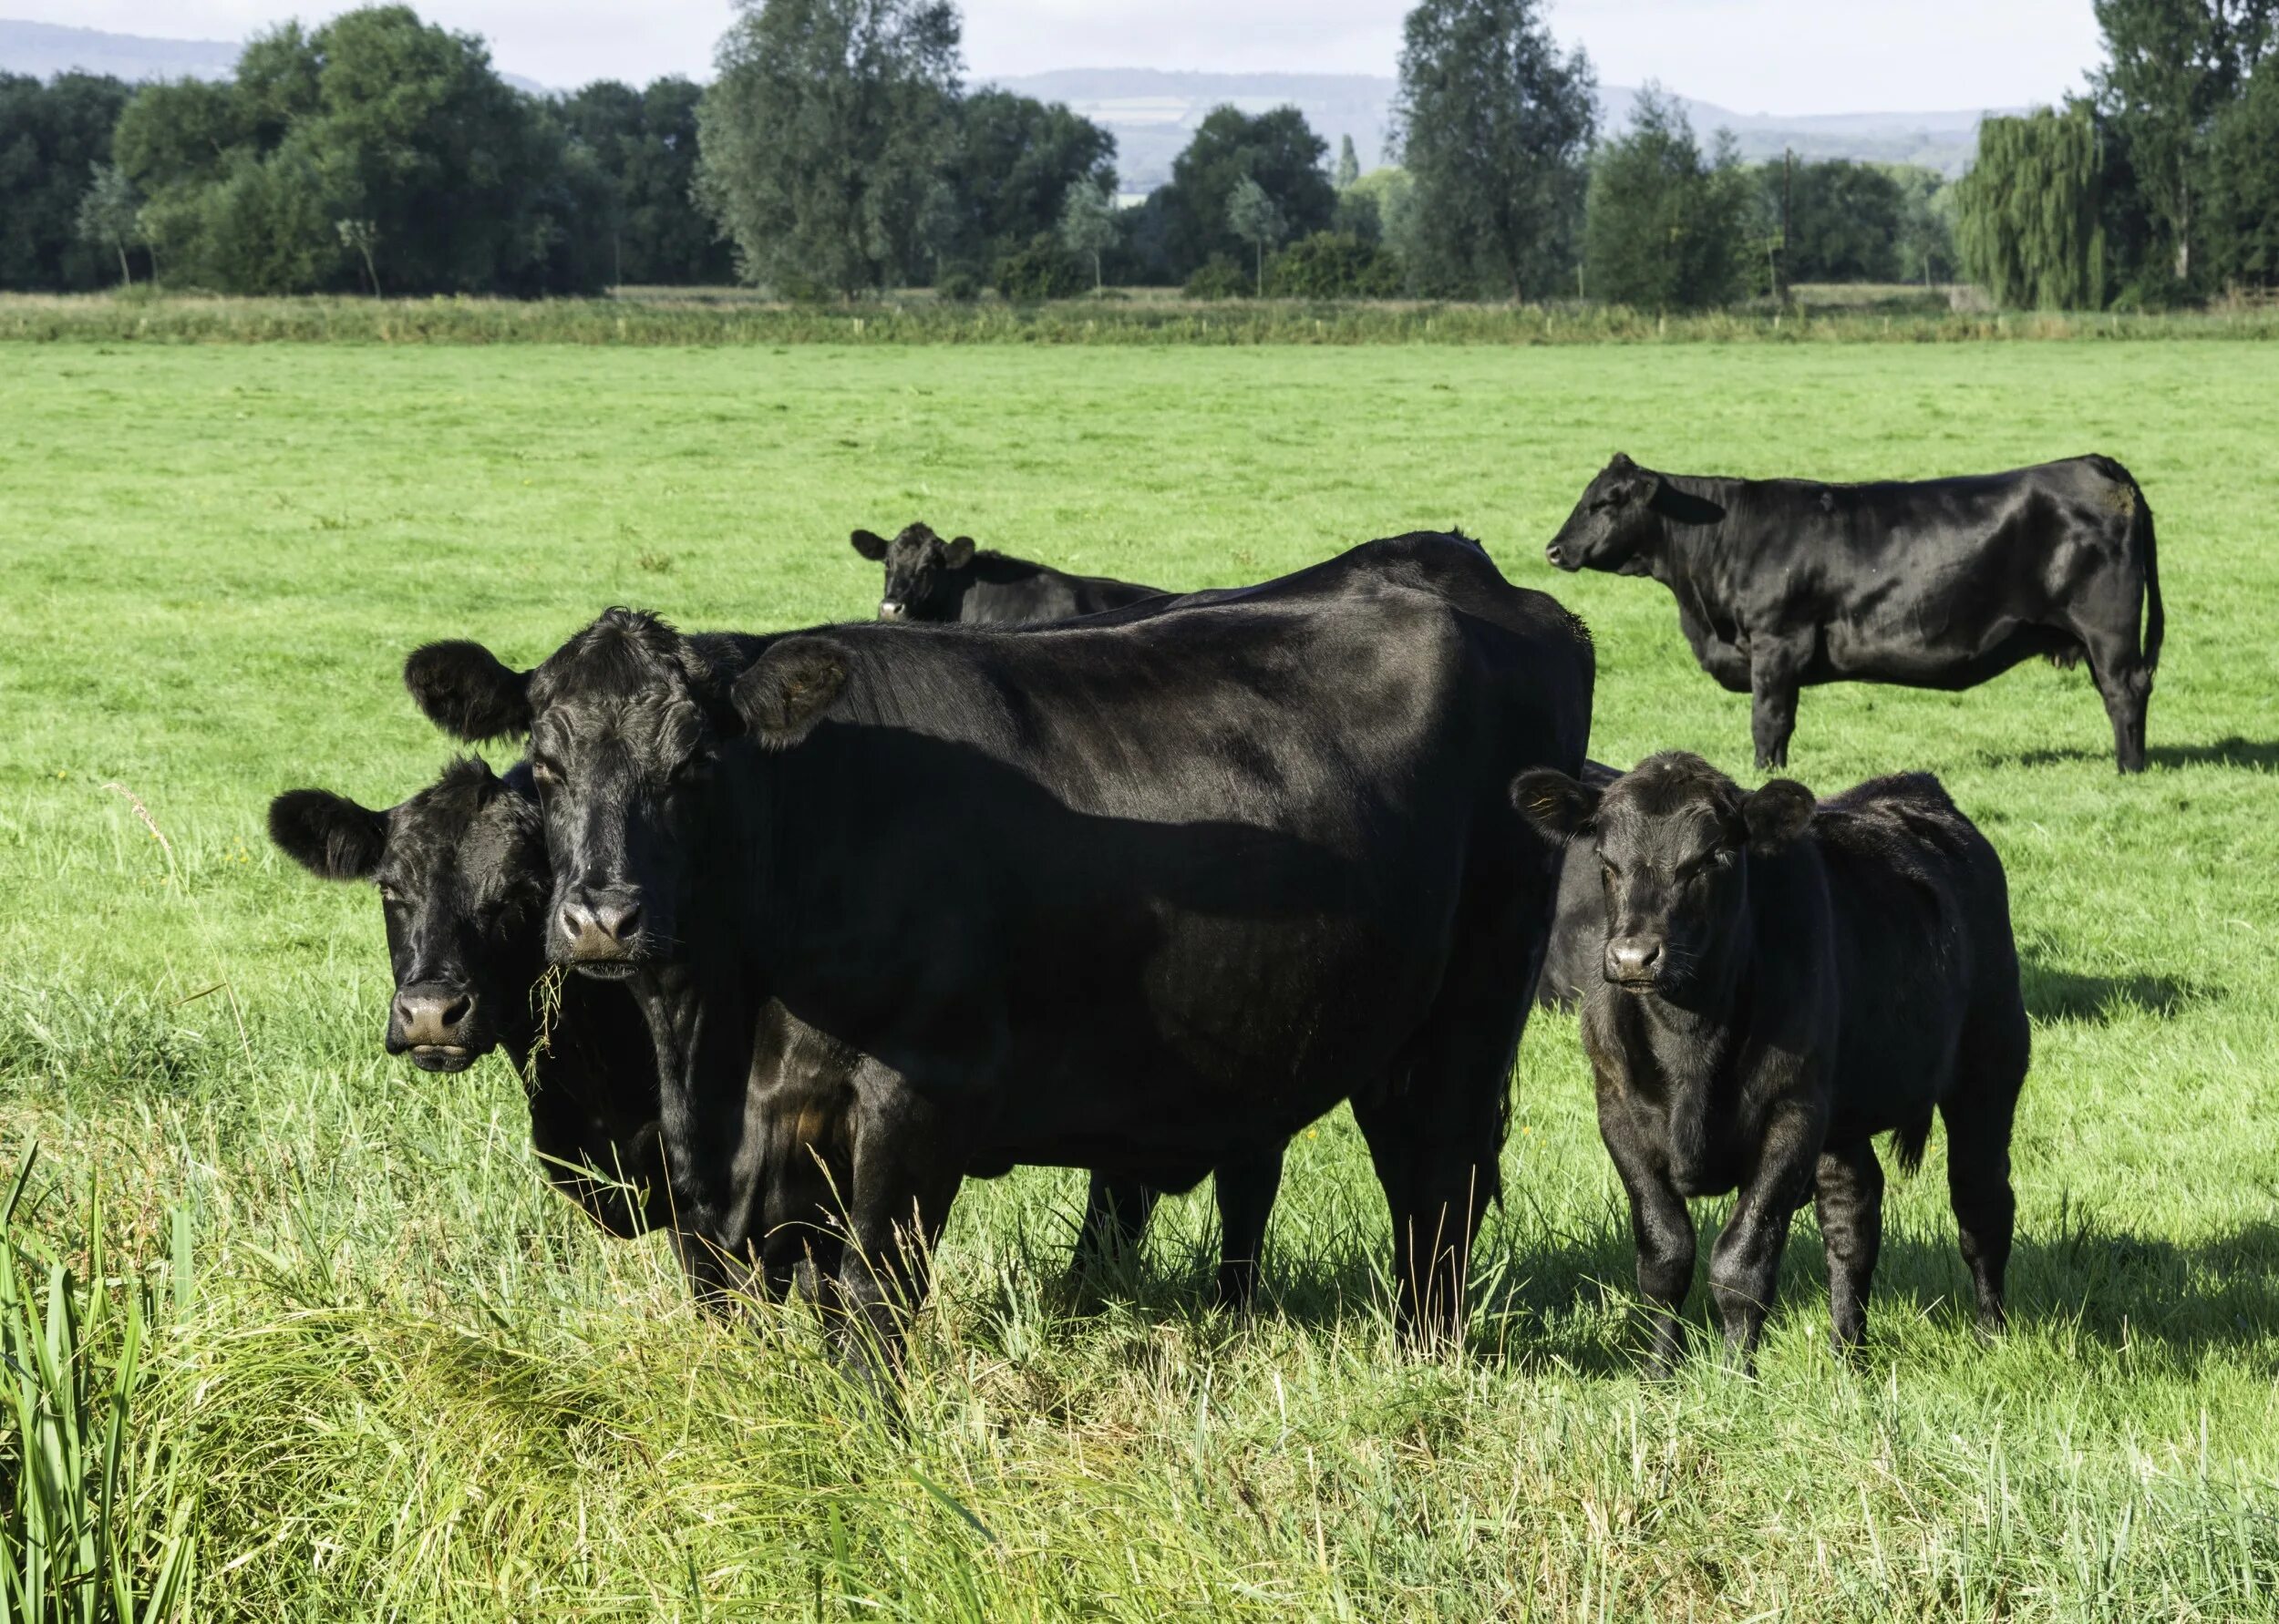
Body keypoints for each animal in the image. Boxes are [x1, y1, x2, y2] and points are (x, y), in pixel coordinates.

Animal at [401, 532, 1595, 1357]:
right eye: (546, 764)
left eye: (694, 763)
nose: (601, 918)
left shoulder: (917, 1096)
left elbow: (871, 1306)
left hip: (1468, 1009)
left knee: (1432, 1182)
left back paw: (1422, 1362)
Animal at [1513, 751, 2033, 1366]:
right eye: (1604, 859)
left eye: (1711, 857)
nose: (1634, 956)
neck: (1689, 1042)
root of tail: (1915, 789)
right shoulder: (1617, 1112)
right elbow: (1665, 1257)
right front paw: (1659, 1373)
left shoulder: (1791, 1116)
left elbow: (1741, 1263)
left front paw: (1736, 1377)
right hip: (1843, 1116)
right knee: (1852, 1217)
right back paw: (1848, 1356)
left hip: (1991, 1062)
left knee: (1981, 1202)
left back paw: (1992, 1337)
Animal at [1541, 446, 2160, 769]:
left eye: (1607, 501)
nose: (1553, 548)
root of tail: (2097, 464)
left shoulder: (1777, 641)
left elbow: (1769, 719)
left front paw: (1762, 775)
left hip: (2108, 633)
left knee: (2123, 693)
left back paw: (2128, 768)